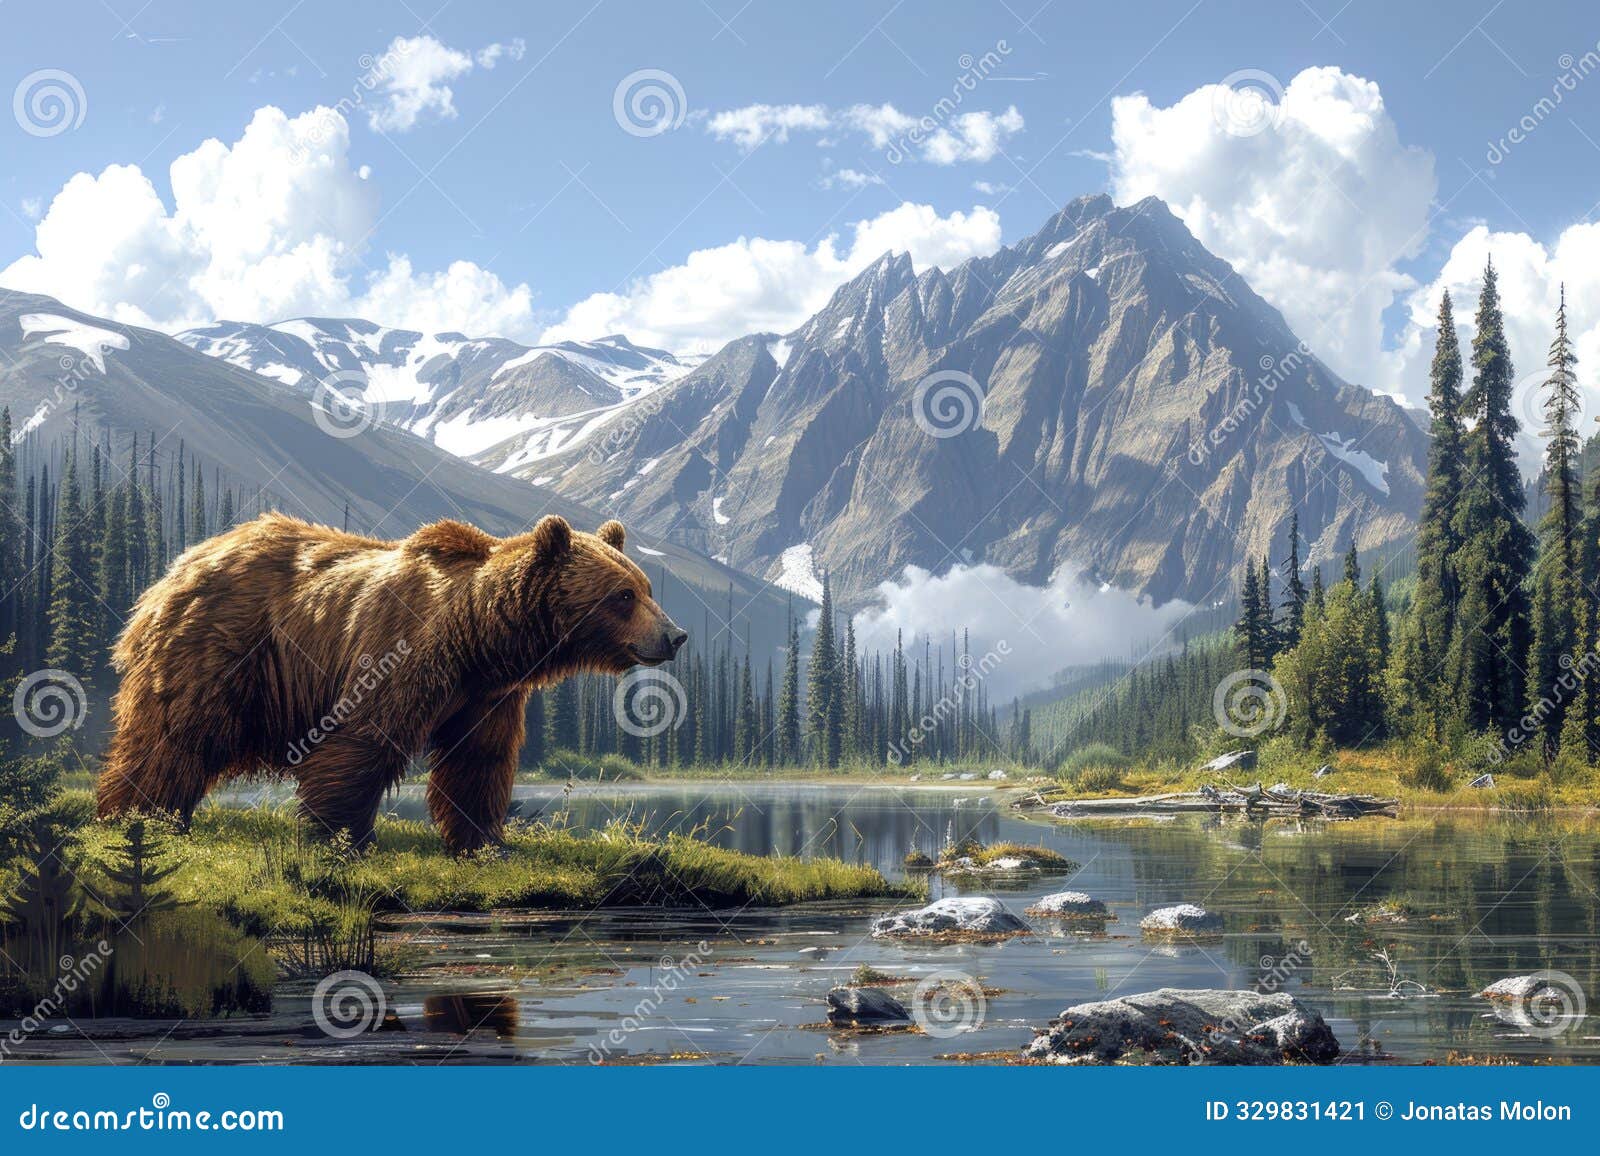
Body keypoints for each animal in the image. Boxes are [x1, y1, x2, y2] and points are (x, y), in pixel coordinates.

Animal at [95, 511, 686, 853]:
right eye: (623, 596)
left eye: (646, 587)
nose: (675, 635)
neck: (478, 637)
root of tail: (173, 570)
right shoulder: (397, 652)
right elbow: (363, 739)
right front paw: (341, 835)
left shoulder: (487, 695)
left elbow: (479, 761)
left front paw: (484, 840)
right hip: (219, 648)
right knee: (175, 735)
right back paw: (139, 815)